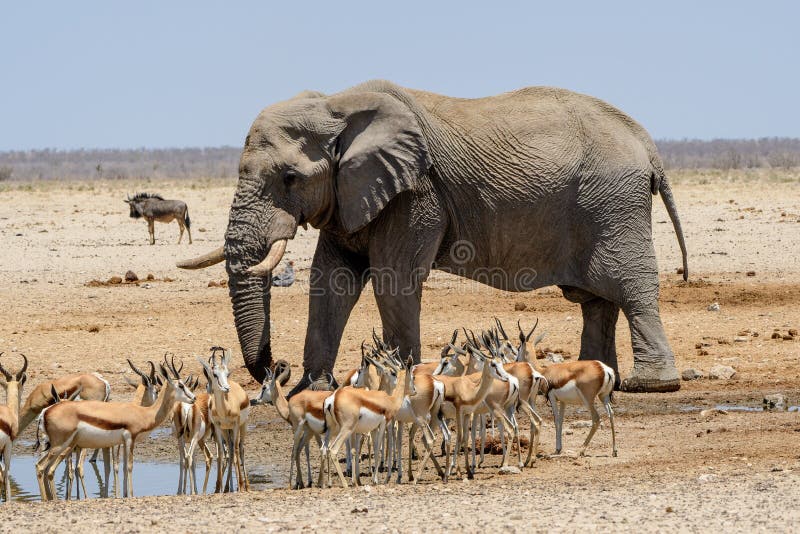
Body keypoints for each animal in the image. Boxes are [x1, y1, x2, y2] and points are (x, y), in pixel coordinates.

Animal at [178, 80, 688, 394]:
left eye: (289, 178)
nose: (277, 370)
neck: (336, 105)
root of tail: (648, 145)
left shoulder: (415, 192)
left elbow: (393, 279)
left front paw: (398, 381)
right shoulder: (350, 194)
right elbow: (331, 282)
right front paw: (315, 388)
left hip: (613, 204)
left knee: (628, 287)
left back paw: (650, 384)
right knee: (595, 299)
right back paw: (590, 375)